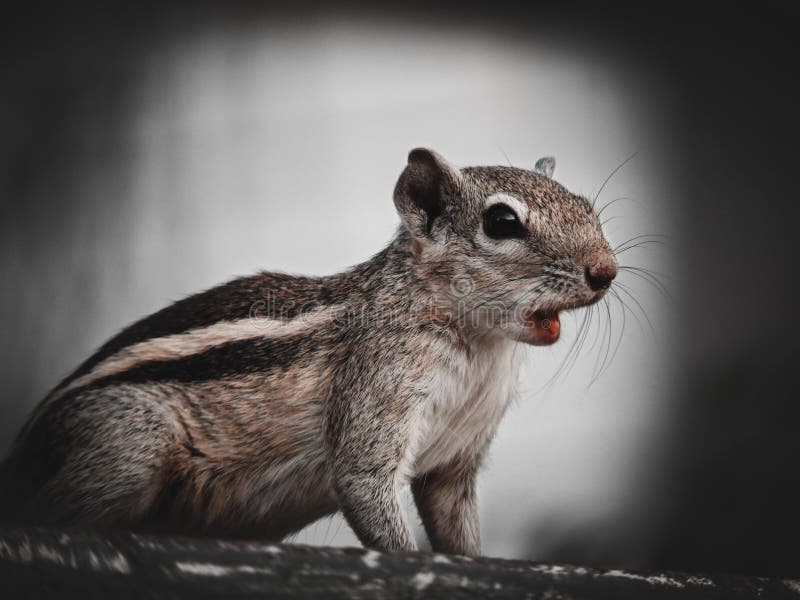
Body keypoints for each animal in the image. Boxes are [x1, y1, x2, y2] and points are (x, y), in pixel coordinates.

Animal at [0, 148, 617, 555]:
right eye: (502, 221)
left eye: (586, 206)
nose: (606, 271)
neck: (481, 347)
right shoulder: (377, 382)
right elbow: (366, 484)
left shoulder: (456, 463)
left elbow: (456, 529)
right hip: (128, 442)